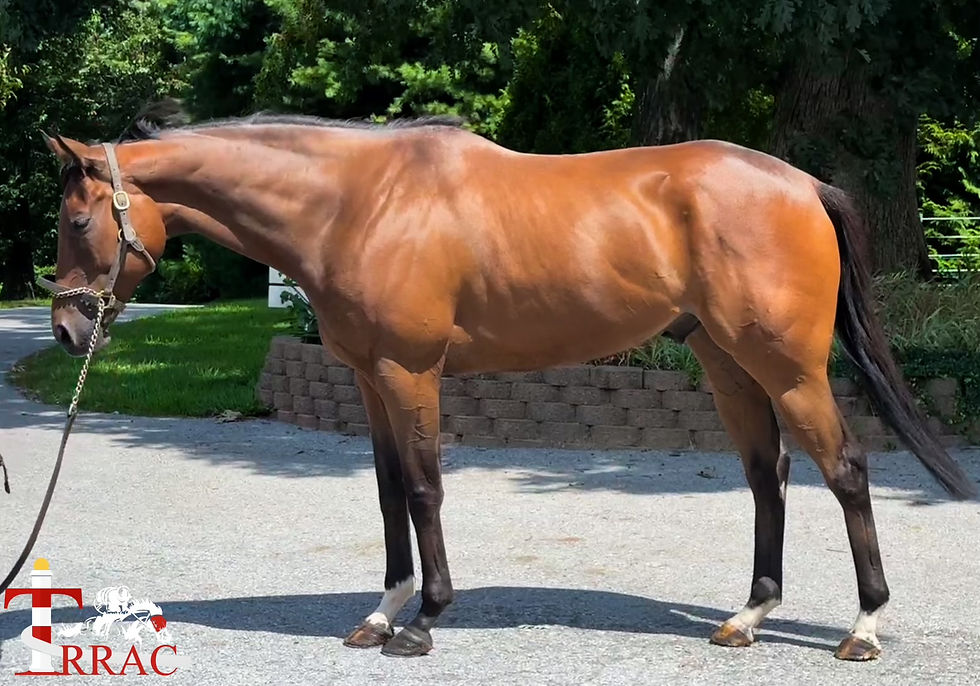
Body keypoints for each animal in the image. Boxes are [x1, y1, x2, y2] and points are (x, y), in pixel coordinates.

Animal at [40, 115, 974, 661]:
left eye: (77, 220)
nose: (67, 332)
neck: (356, 202)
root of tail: (801, 183)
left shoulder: (410, 372)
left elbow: (424, 488)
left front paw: (423, 620)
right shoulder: (369, 380)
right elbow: (388, 492)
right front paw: (381, 613)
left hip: (787, 366)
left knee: (845, 470)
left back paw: (863, 628)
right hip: (726, 363)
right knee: (766, 476)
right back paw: (747, 617)